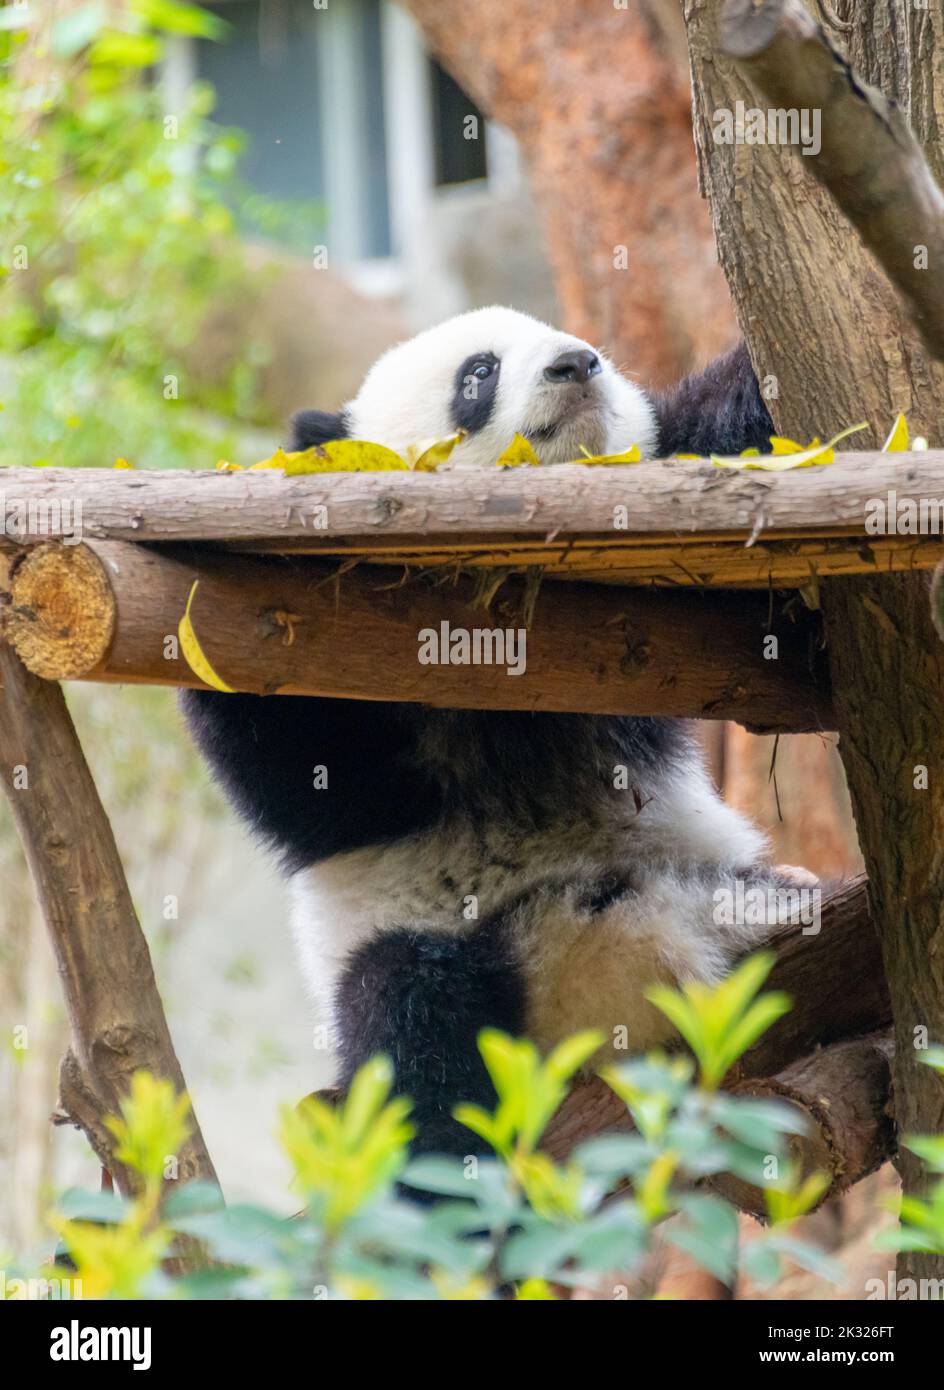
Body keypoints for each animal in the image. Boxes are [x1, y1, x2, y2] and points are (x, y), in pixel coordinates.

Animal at [182, 306, 808, 1157]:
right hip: (425, 949)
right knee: (409, 1013)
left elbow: (732, 436)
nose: (577, 365)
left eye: (588, 347)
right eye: (478, 374)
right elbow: (301, 768)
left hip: (728, 896)